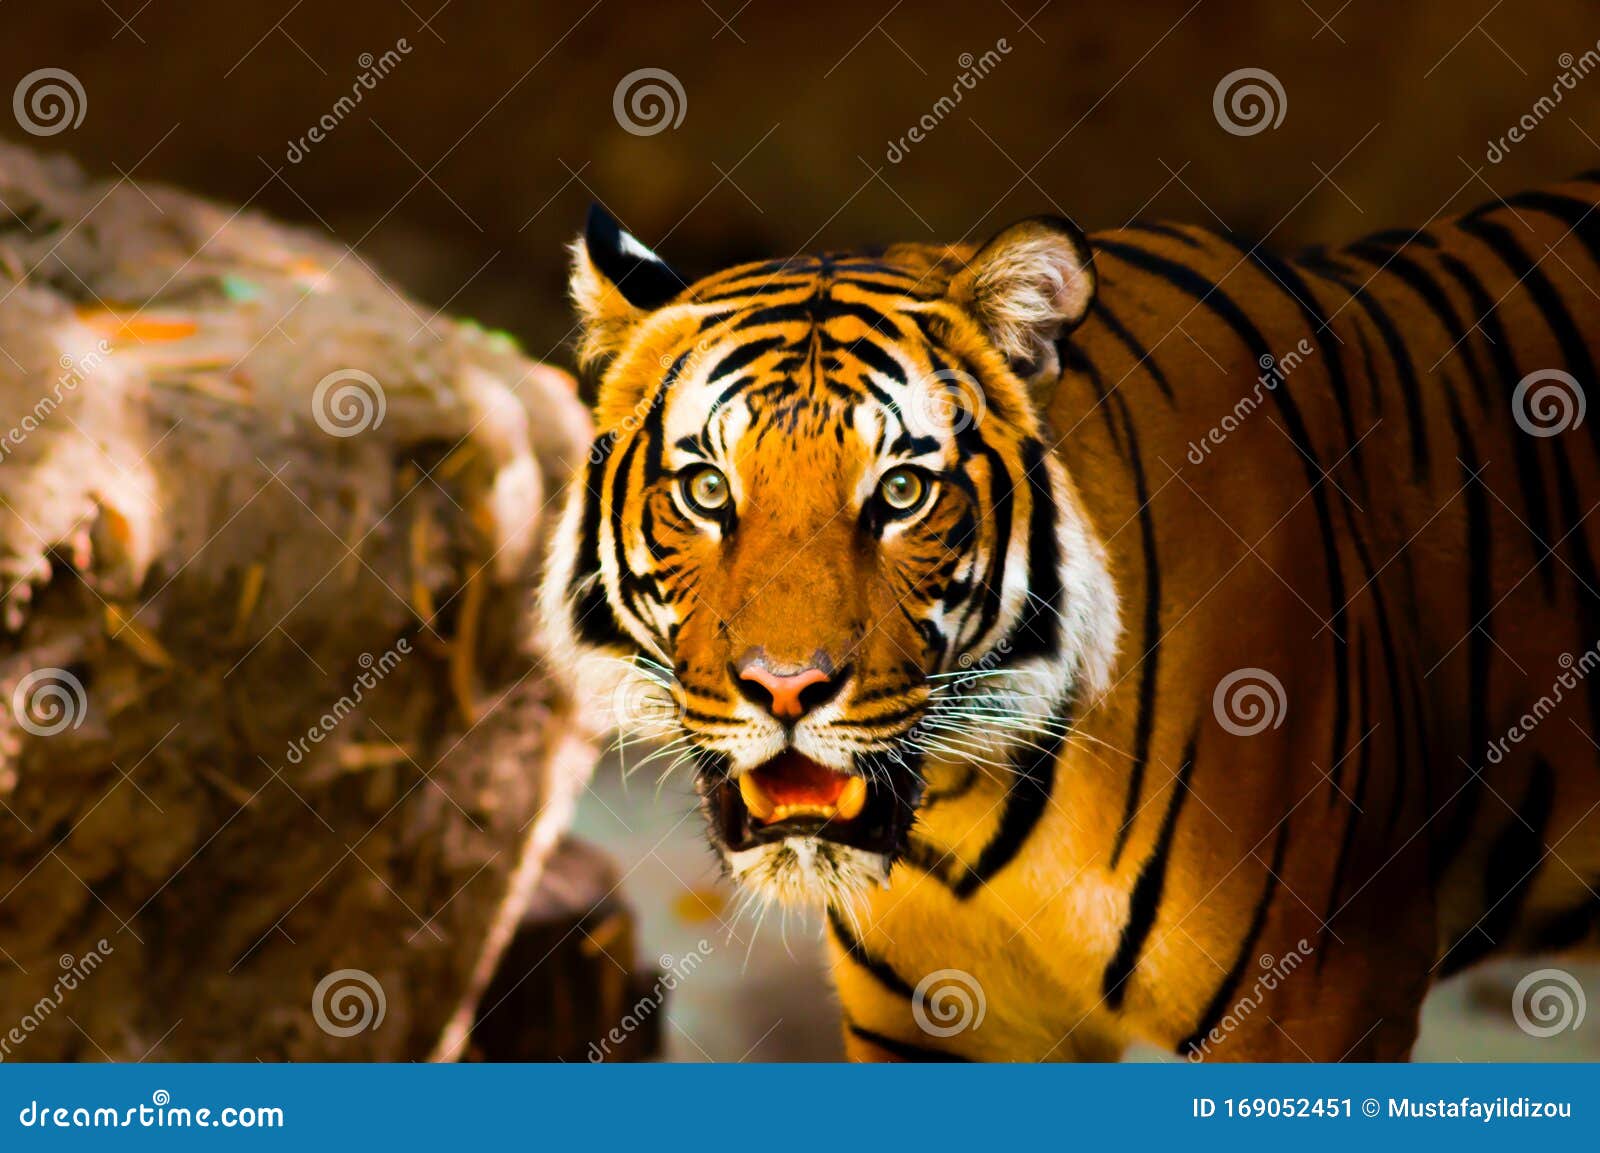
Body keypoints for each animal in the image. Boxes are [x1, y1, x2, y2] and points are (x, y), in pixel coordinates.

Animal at [540, 180, 1600, 1062]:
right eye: (708, 489)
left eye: (901, 491)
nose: (787, 687)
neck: (968, 809)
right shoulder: (930, 1023)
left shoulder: (1318, 1000)